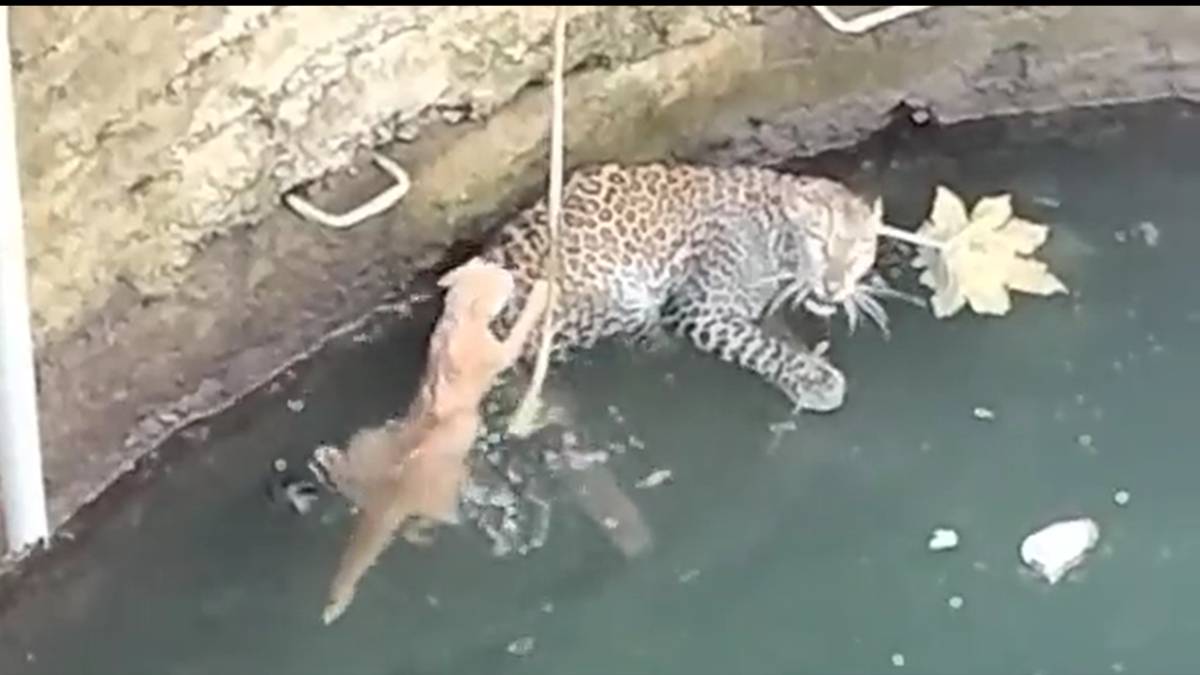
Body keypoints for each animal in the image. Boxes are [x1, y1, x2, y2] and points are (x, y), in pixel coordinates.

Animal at [478, 161, 905, 414]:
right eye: (819, 241)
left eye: (862, 250)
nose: (834, 287)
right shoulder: (700, 309)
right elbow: (761, 346)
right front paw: (814, 380)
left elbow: (778, 335)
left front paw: (814, 367)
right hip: (619, 297)